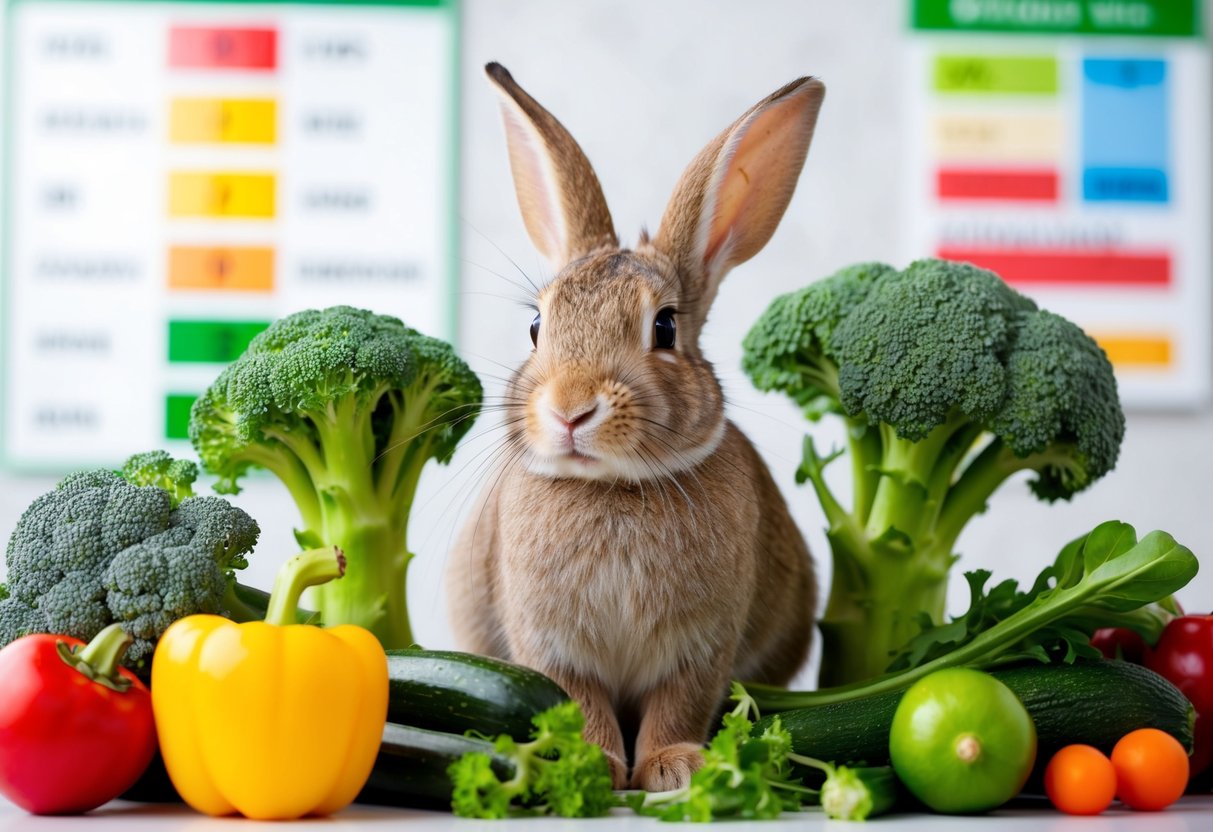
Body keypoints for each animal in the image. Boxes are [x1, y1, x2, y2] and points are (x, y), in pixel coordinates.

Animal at [447, 62, 824, 792]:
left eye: (666, 327)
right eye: (535, 326)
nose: (571, 408)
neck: (613, 489)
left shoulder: (700, 648)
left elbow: (679, 704)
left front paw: (670, 768)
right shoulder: (553, 648)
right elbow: (580, 702)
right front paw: (594, 763)